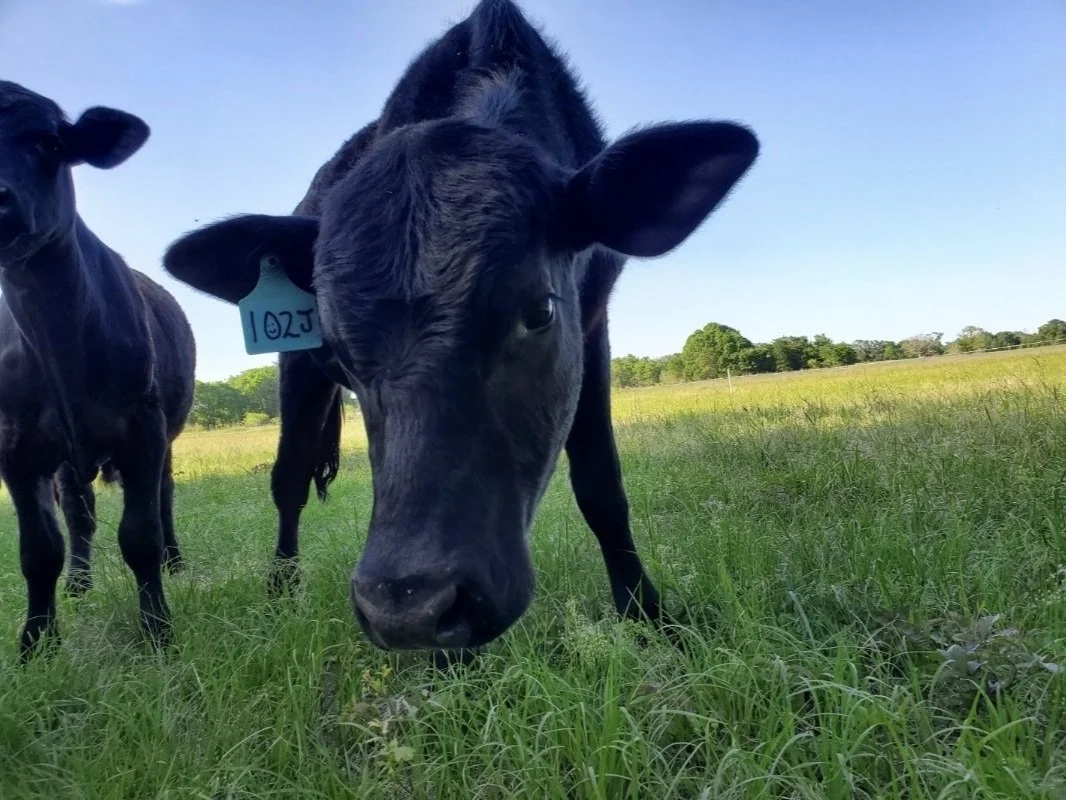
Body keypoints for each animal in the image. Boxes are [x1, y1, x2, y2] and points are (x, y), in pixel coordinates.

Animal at [0, 81, 197, 660]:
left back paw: (175, 560)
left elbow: (140, 535)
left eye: (49, 143)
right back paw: (80, 582)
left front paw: (158, 629)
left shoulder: (142, 428)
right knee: (80, 510)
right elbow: (40, 549)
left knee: (163, 497)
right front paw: (36, 642)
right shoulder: (16, 446)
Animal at [163, 0, 759, 655]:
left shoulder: (594, 324)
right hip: (294, 369)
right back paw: (279, 591)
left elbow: (602, 486)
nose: (408, 611)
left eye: (539, 312)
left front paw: (647, 615)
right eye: (340, 351)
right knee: (288, 479)